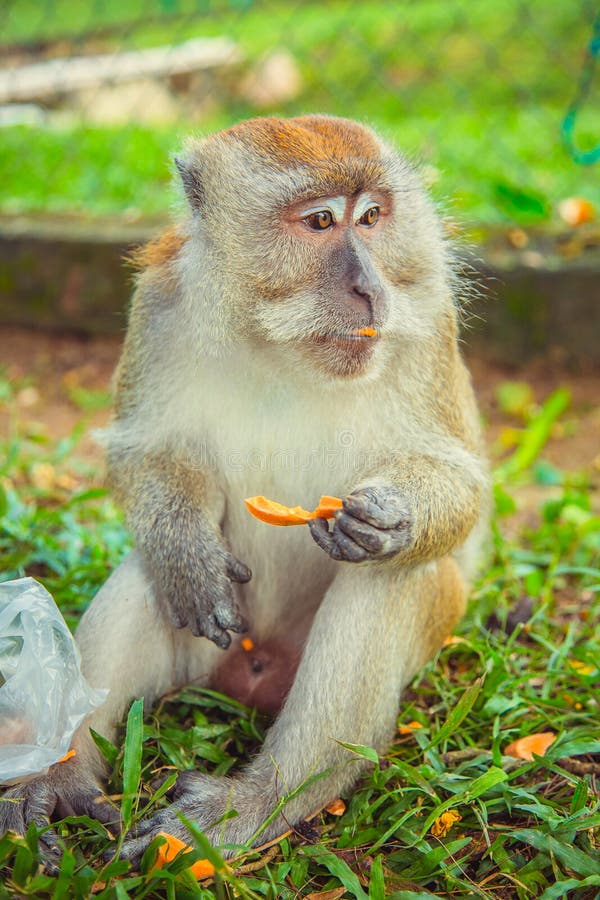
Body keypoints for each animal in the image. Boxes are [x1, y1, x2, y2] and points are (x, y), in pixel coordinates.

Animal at [0, 115, 489, 866]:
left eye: (372, 218)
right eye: (319, 221)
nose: (370, 289)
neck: (281, 342)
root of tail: (254, 676)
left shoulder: (427, 318)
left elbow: (460, 483)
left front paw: (392, 518)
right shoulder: (160, 305)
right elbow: (146, 451)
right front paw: (186, 552)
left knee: (387, 579)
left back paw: (267, 800)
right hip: (215, 649)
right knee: (147, 572)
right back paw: (60, 774)